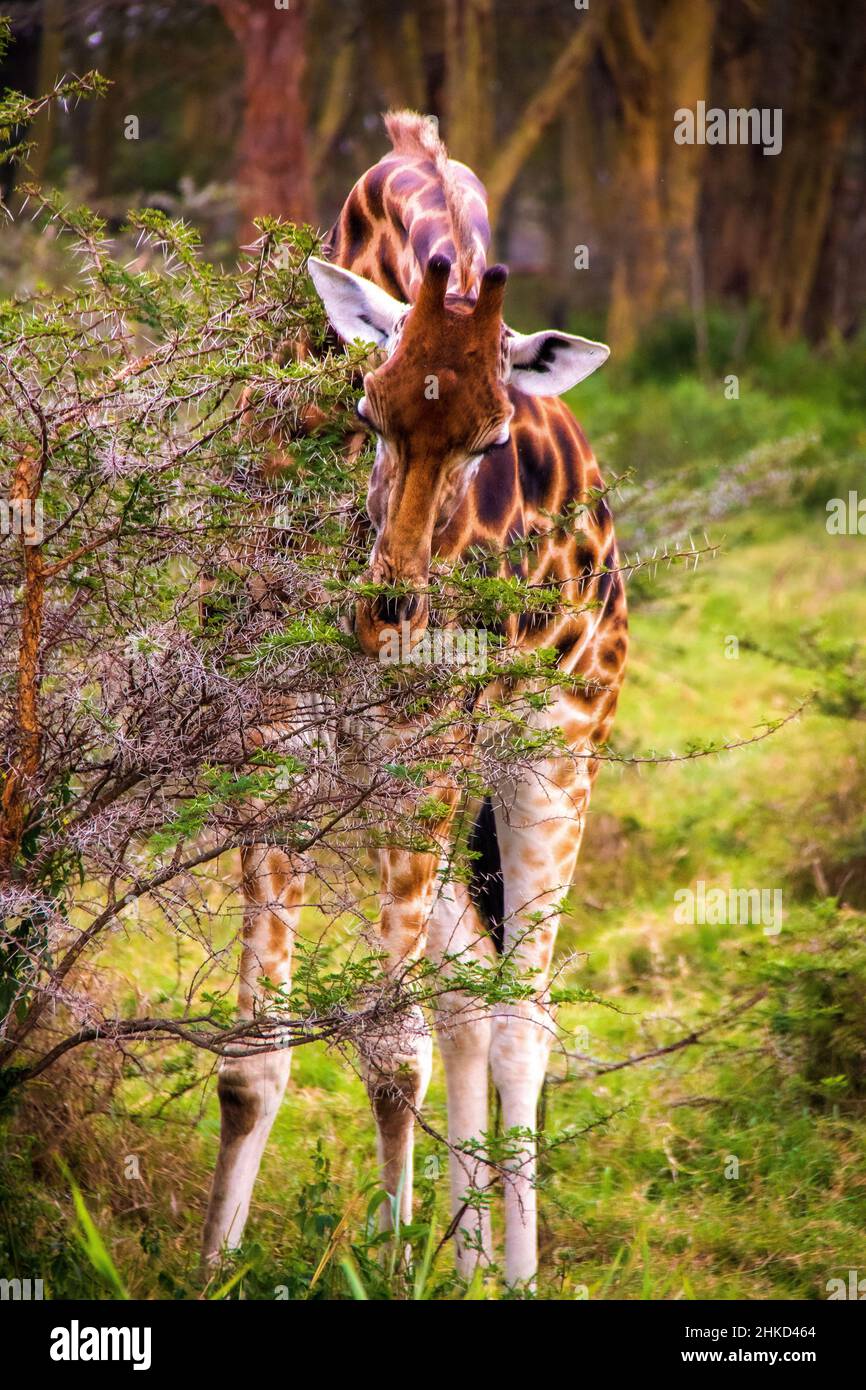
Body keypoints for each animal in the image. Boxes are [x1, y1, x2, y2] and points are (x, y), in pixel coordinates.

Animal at [202, 112, 627, 1288]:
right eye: (367, 406)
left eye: (490, 440)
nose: (387, 608)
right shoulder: (275, 738)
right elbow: (251, 1062)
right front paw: (213, 1266)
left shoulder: (426, 747)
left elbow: (392, 1055)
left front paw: (393, 1271)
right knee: (470, 992)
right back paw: (469, 1260)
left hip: (551, 747)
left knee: (523, 1013)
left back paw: (513, 1274)